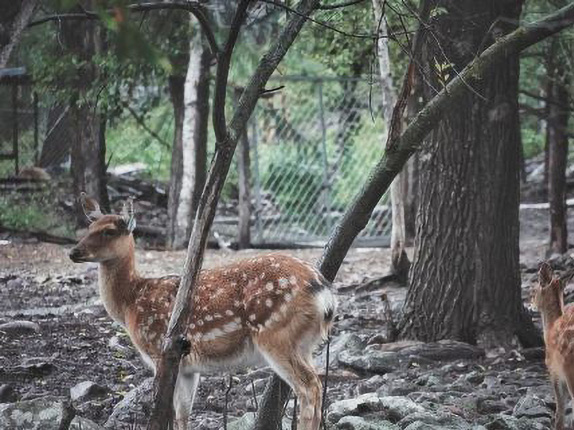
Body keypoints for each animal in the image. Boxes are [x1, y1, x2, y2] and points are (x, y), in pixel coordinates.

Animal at [68, 194, 338, 430]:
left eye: (109, 231)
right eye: (89, 227)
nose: (73, 252)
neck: (130, 304)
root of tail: (324, 294)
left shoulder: (160, 351)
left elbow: (167, 410)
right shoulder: (188, 366)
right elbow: (183, 413)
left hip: (275, 333)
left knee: (309, 387)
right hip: (304, 343)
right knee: (317, 383)